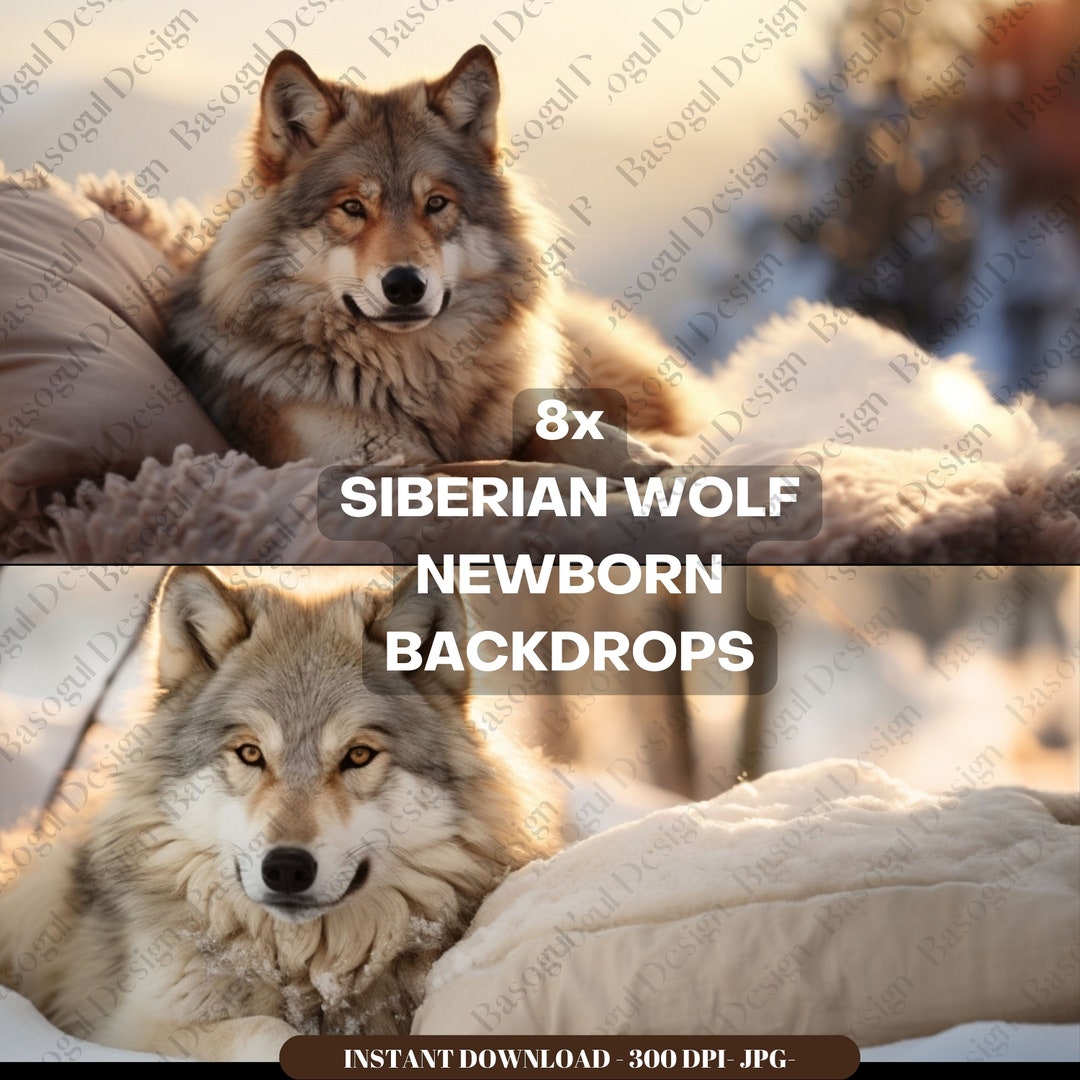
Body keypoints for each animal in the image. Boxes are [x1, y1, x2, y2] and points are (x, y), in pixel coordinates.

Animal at [0, 566, 557, 1060]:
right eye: (250, 753)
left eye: (358, 755)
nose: (287, 868)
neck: (305, 968)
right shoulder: (130, 1027)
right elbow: (266, 1030)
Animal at [89, 46, 691, 474]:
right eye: (353, 207)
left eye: (436, 204)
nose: (405, 285)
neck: (417, 375)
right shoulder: (379, 469)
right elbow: (502, 469)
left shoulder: (522, 415)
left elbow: (583, 436)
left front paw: (654, 463)